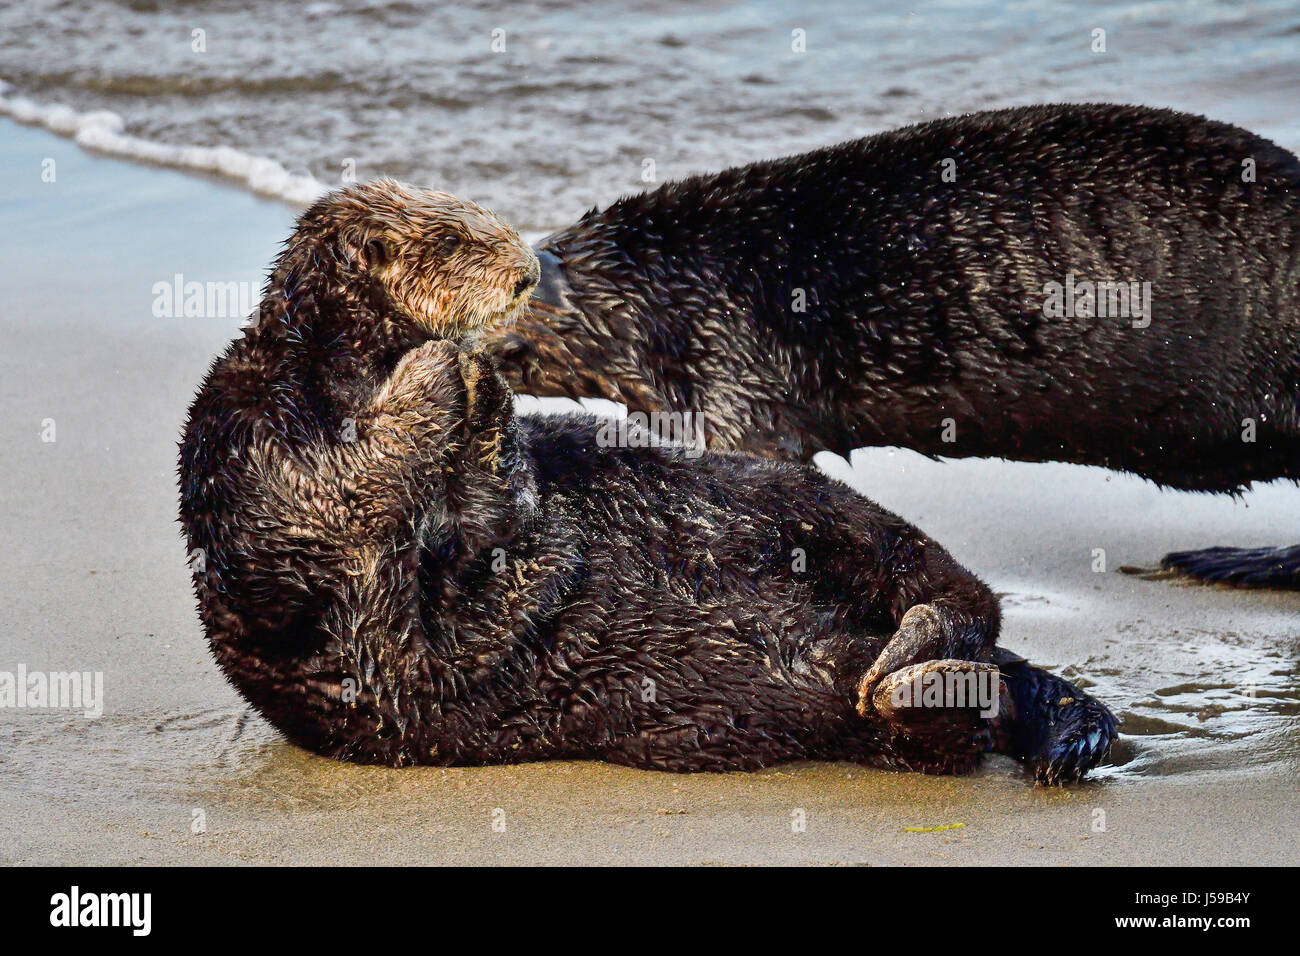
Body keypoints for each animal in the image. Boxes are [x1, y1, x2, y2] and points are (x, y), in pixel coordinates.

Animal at [178, 180, 1116, 784]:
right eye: (454, 241)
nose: (526, 270)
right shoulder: (257, 434)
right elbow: (345, 485)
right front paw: (443, 363)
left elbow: (499, 500)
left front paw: (479, 380)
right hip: (844, 705)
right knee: (945, 717)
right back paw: (915, 680)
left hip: (809, 507)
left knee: (956, 594)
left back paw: (920, 649)